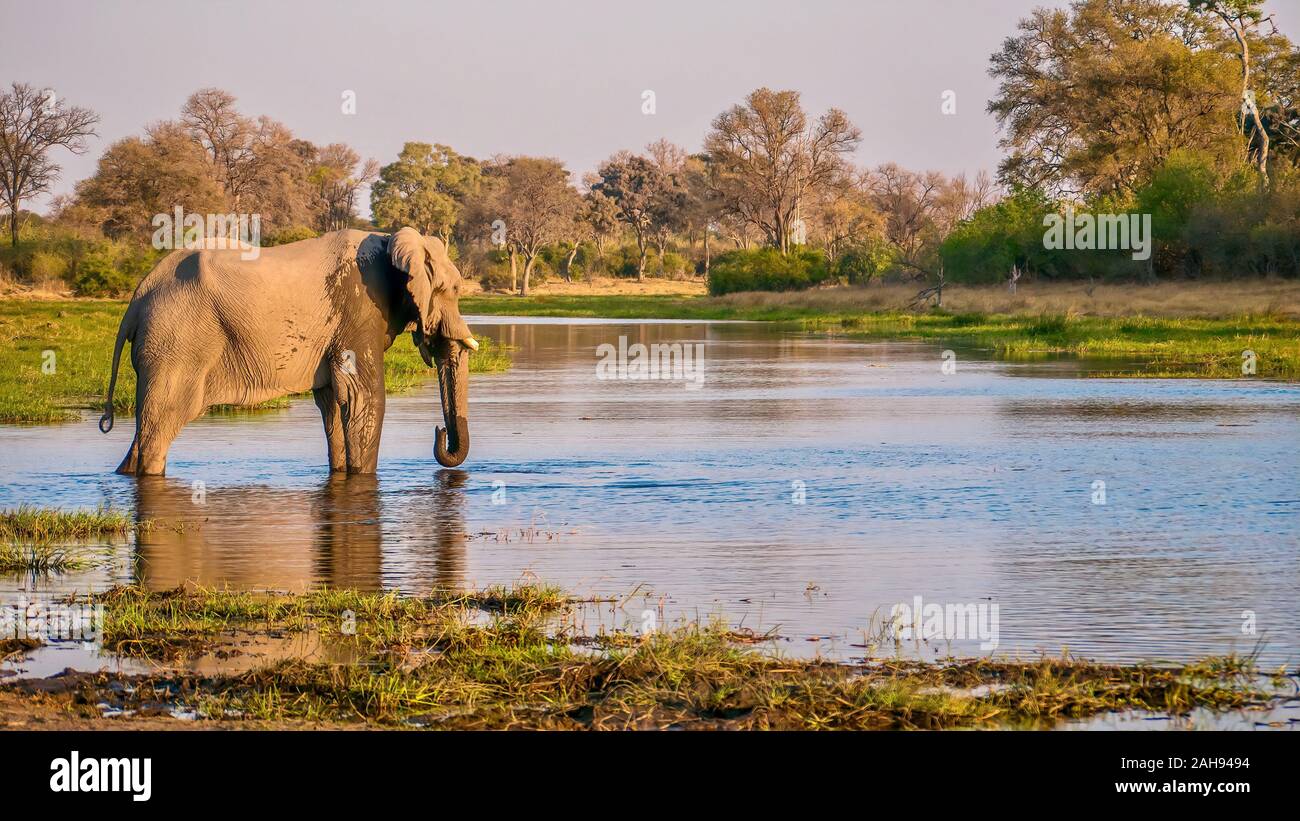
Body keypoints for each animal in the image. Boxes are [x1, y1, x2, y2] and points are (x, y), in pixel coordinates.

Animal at [99, 227, 478, 475]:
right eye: (454, 290)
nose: (440, 433)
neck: (390, 241)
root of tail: (138, 296)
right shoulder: (360, 310)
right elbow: (366, 398)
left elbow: (333, 400)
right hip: (176, 341)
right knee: (161, 426)